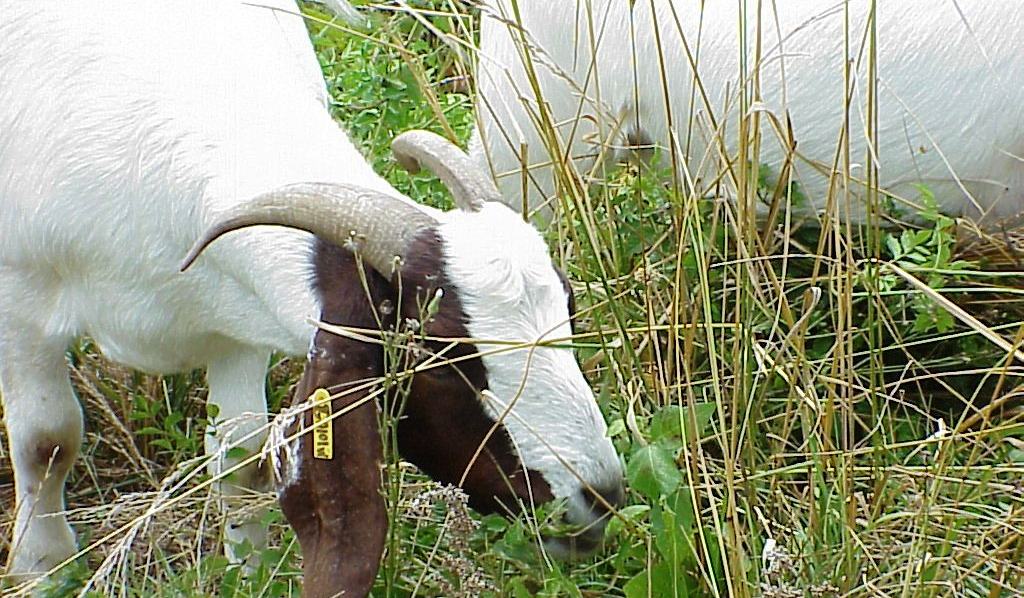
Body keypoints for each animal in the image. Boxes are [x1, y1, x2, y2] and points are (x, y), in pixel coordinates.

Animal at [0, 2, 623, 596]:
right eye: (443, 356)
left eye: (569, 310)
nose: (600, 499)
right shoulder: (20, 306)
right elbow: (47, 443)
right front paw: (43, 573)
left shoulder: (233, 322)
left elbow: (242, 455)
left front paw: (248, 574)